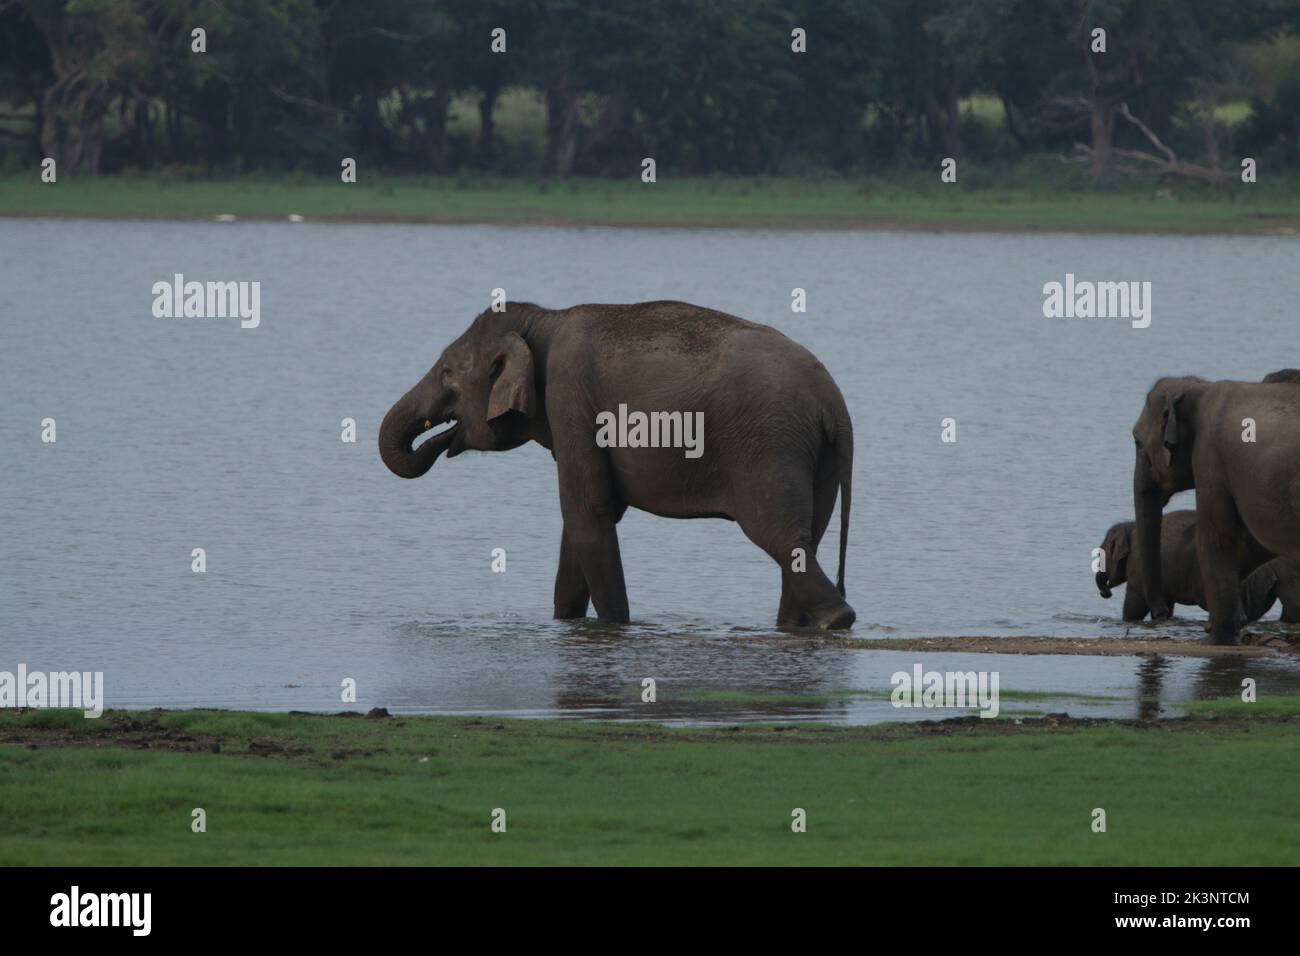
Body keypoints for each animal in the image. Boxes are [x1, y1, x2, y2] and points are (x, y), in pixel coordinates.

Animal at [378, 300, 856, 630]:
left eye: (447, 373)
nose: (435, 441)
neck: (542, 320)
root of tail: (834, 402)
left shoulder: (569, 396)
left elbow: (588, 510)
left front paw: (614, 625)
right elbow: (581, 523)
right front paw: (567, 624)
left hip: (769, 445)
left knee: (780, 537)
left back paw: (836, 620)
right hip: (817, 457)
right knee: (809, 536)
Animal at [1096, 510, 1297, 622]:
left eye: (1100, 554)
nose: (1106, 593)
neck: (1129, 526)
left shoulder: (1137, 567)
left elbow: (1135, 602)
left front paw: (1128, 622)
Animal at [1132, 375, 1300, 644]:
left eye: (1137, 442)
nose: (1162, 613)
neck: (1200, 388)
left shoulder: (1209, 457)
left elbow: (1216, 537)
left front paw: (1215, 640)